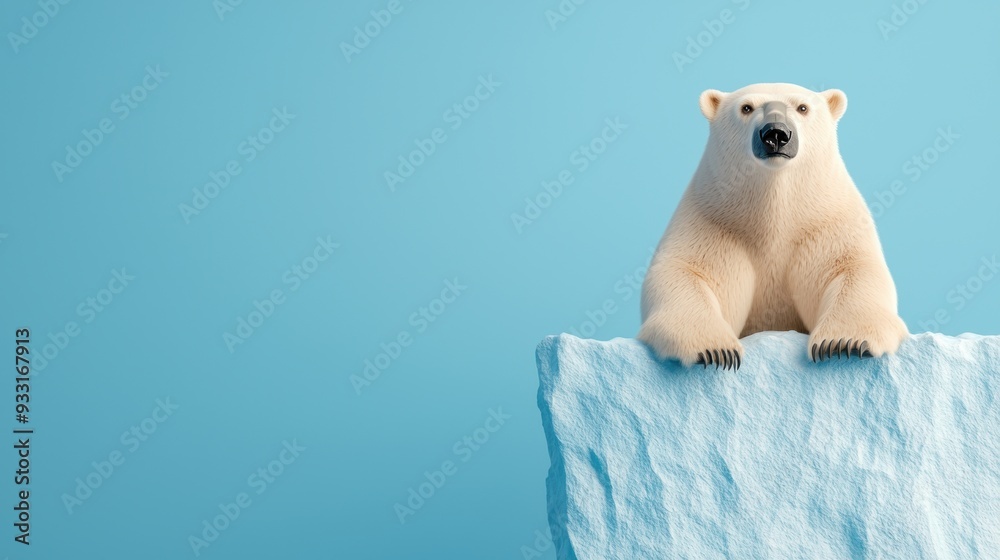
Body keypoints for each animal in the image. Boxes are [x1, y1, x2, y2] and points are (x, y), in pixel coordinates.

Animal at [638, 83, 908, 370]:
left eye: (802, 107)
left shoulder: (828, 224)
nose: (776, 134)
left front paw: (843, 343)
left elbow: (855, 269)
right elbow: (682, 272)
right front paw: (715, 350)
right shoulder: (712, 224)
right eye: (747, 107)